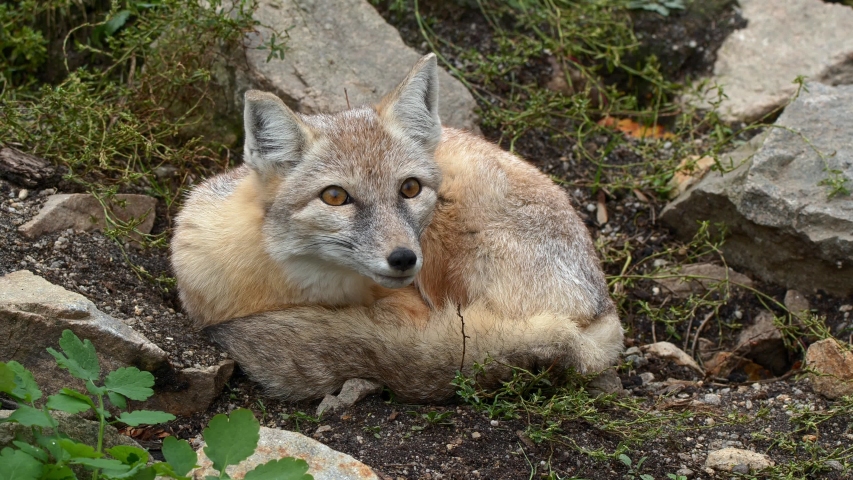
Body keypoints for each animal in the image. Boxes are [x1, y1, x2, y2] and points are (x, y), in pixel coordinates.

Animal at [171, 54, 624, 402]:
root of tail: (604, 307)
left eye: (409, 188)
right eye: (335, 196)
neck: (286, 292)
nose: (404, 258)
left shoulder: (416, 309)